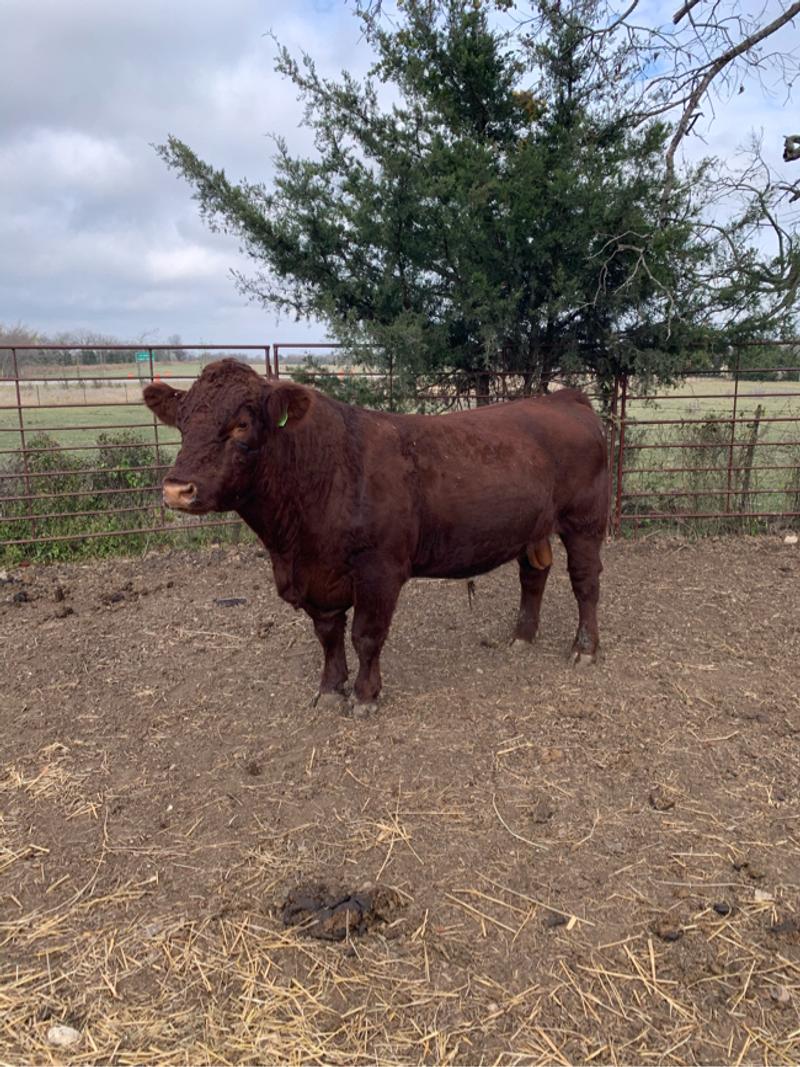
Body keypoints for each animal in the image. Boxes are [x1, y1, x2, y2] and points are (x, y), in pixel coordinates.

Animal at [144, 359, 608, 716]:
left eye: (241, 424)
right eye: (182, 423)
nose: (177, 489)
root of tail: (564, 397)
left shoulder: (379, 569)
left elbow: (366, 635)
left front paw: (365, 696)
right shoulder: (318, 576)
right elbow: (328, 635)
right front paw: (330, 689)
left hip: (584, 520)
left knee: (585, 582)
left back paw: (584, 649)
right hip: (533, 526)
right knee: (534, 574)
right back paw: (522, 637)